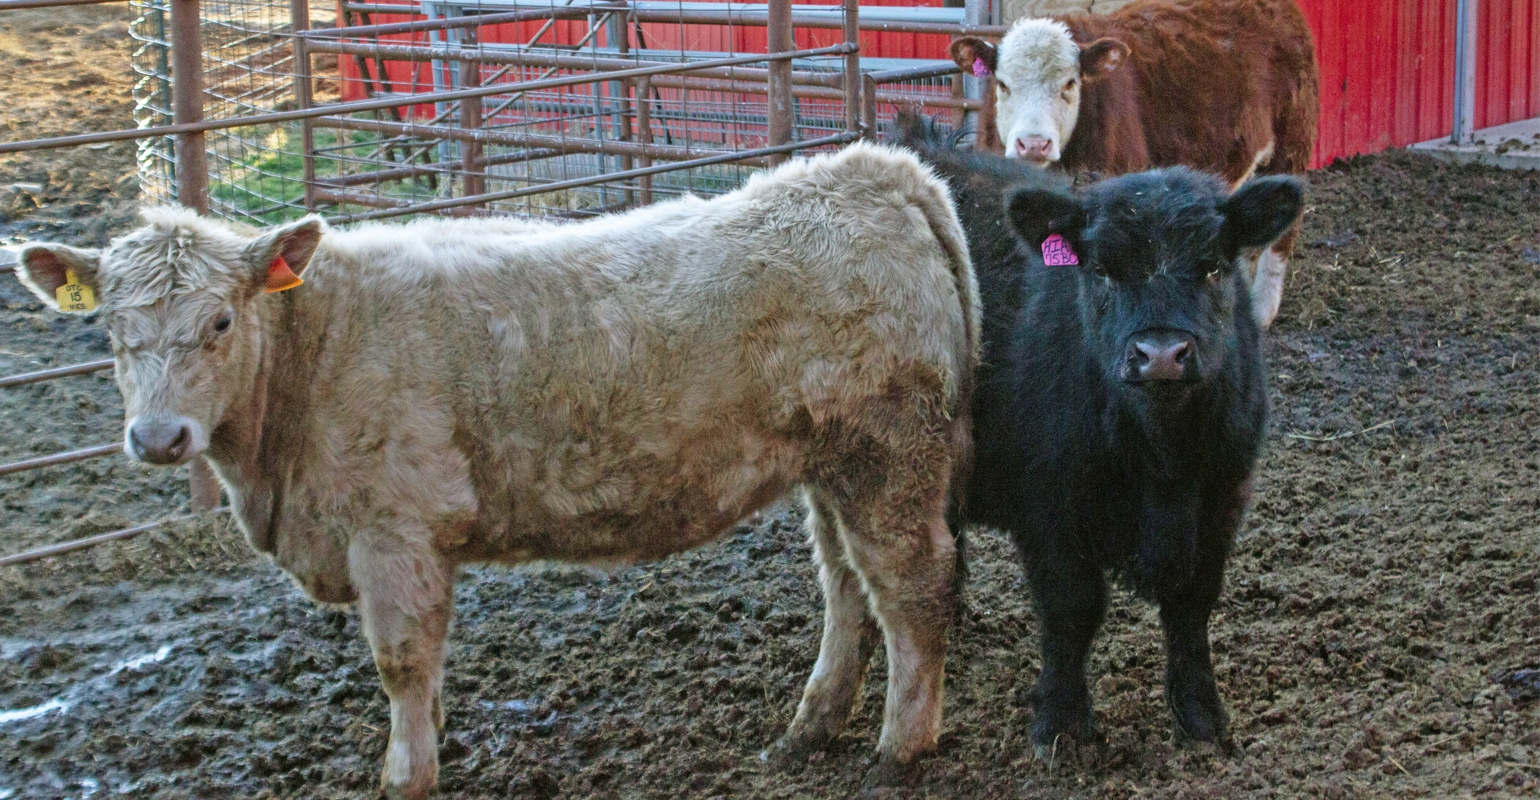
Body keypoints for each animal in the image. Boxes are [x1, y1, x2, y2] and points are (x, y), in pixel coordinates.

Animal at [14, 142, 980, 798]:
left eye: (219, 322)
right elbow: (428, 672)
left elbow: (401, 660)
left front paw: (405, 776)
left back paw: (901, 749)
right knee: (848, 588)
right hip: (830, 462)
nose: (158, 437)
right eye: (109, 330)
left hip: (889, 455)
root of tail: (873, 171)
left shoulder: (395, 532)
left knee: (913, 587)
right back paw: (810, 729)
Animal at [893, 115, 1300, 755]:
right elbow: (1073, 611)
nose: (1161, 355)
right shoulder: (1051, 510)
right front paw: (1061, 723)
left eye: (1213, 266)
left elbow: (1192, 608)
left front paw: (1201, 714)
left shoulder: (1222, 498)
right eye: (1102, 270)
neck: (1162, 461)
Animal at [948, 0, 1319, 330]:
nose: (1034, 143)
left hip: (1292, 144)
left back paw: (1262, 310)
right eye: (1002, 83)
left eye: (1069, 83)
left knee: (1281, 240)